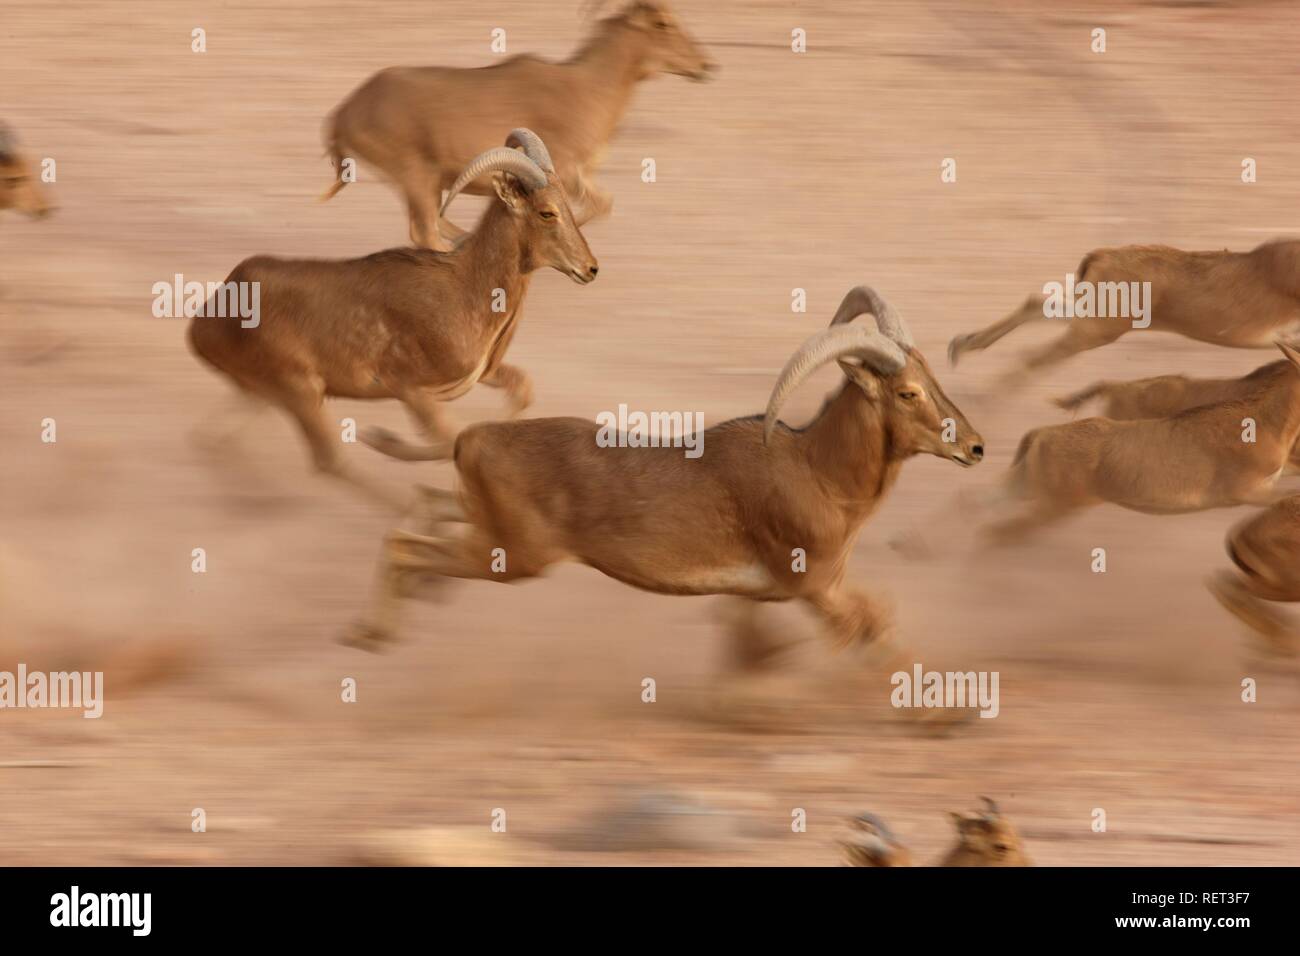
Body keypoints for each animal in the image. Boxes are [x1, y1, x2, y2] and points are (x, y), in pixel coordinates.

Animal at [188, 129, 598, 509]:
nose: (590, 269)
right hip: (300, 389)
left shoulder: (482, 373)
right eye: (546, 212)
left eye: (566, 204)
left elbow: (521, 390)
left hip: (262, 393)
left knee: (215, 437)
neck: (466, 286)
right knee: (329, 461)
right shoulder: (408, 386)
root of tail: (206, 318)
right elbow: (450, 439)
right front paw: (385, 440)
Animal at [320, 0, 715, 249]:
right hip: (415, 175)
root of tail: (344, 114)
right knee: (425, 233)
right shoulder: (565, 171)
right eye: (662, 23)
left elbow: (601, 204)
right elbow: (594, 206)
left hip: (425, 182)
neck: (587, 89)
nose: (706, 66)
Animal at [342, 285, 984, 651]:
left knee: (423, 508)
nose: (974, 447)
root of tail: (472, 439)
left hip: (486, 530)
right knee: (405, 544)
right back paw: (370, 633)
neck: (819, 471)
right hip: (511, 556)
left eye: (932, 379)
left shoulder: (784, 593)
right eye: (906, 393)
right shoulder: (814, 587)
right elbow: (874, 626)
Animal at [947, 240, 1300, 383]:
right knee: (1034, 358)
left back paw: (962, 346)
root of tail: (1099, 255)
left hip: (1093, 314)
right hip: (1099, 328)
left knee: (1036, 306)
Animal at [982, 343, 1300, 545]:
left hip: (1028, 489)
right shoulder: (1247, 492)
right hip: (1054, 505)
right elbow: (1290, 498)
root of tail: (1040, 435)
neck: (1266, 422)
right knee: (996, 535)